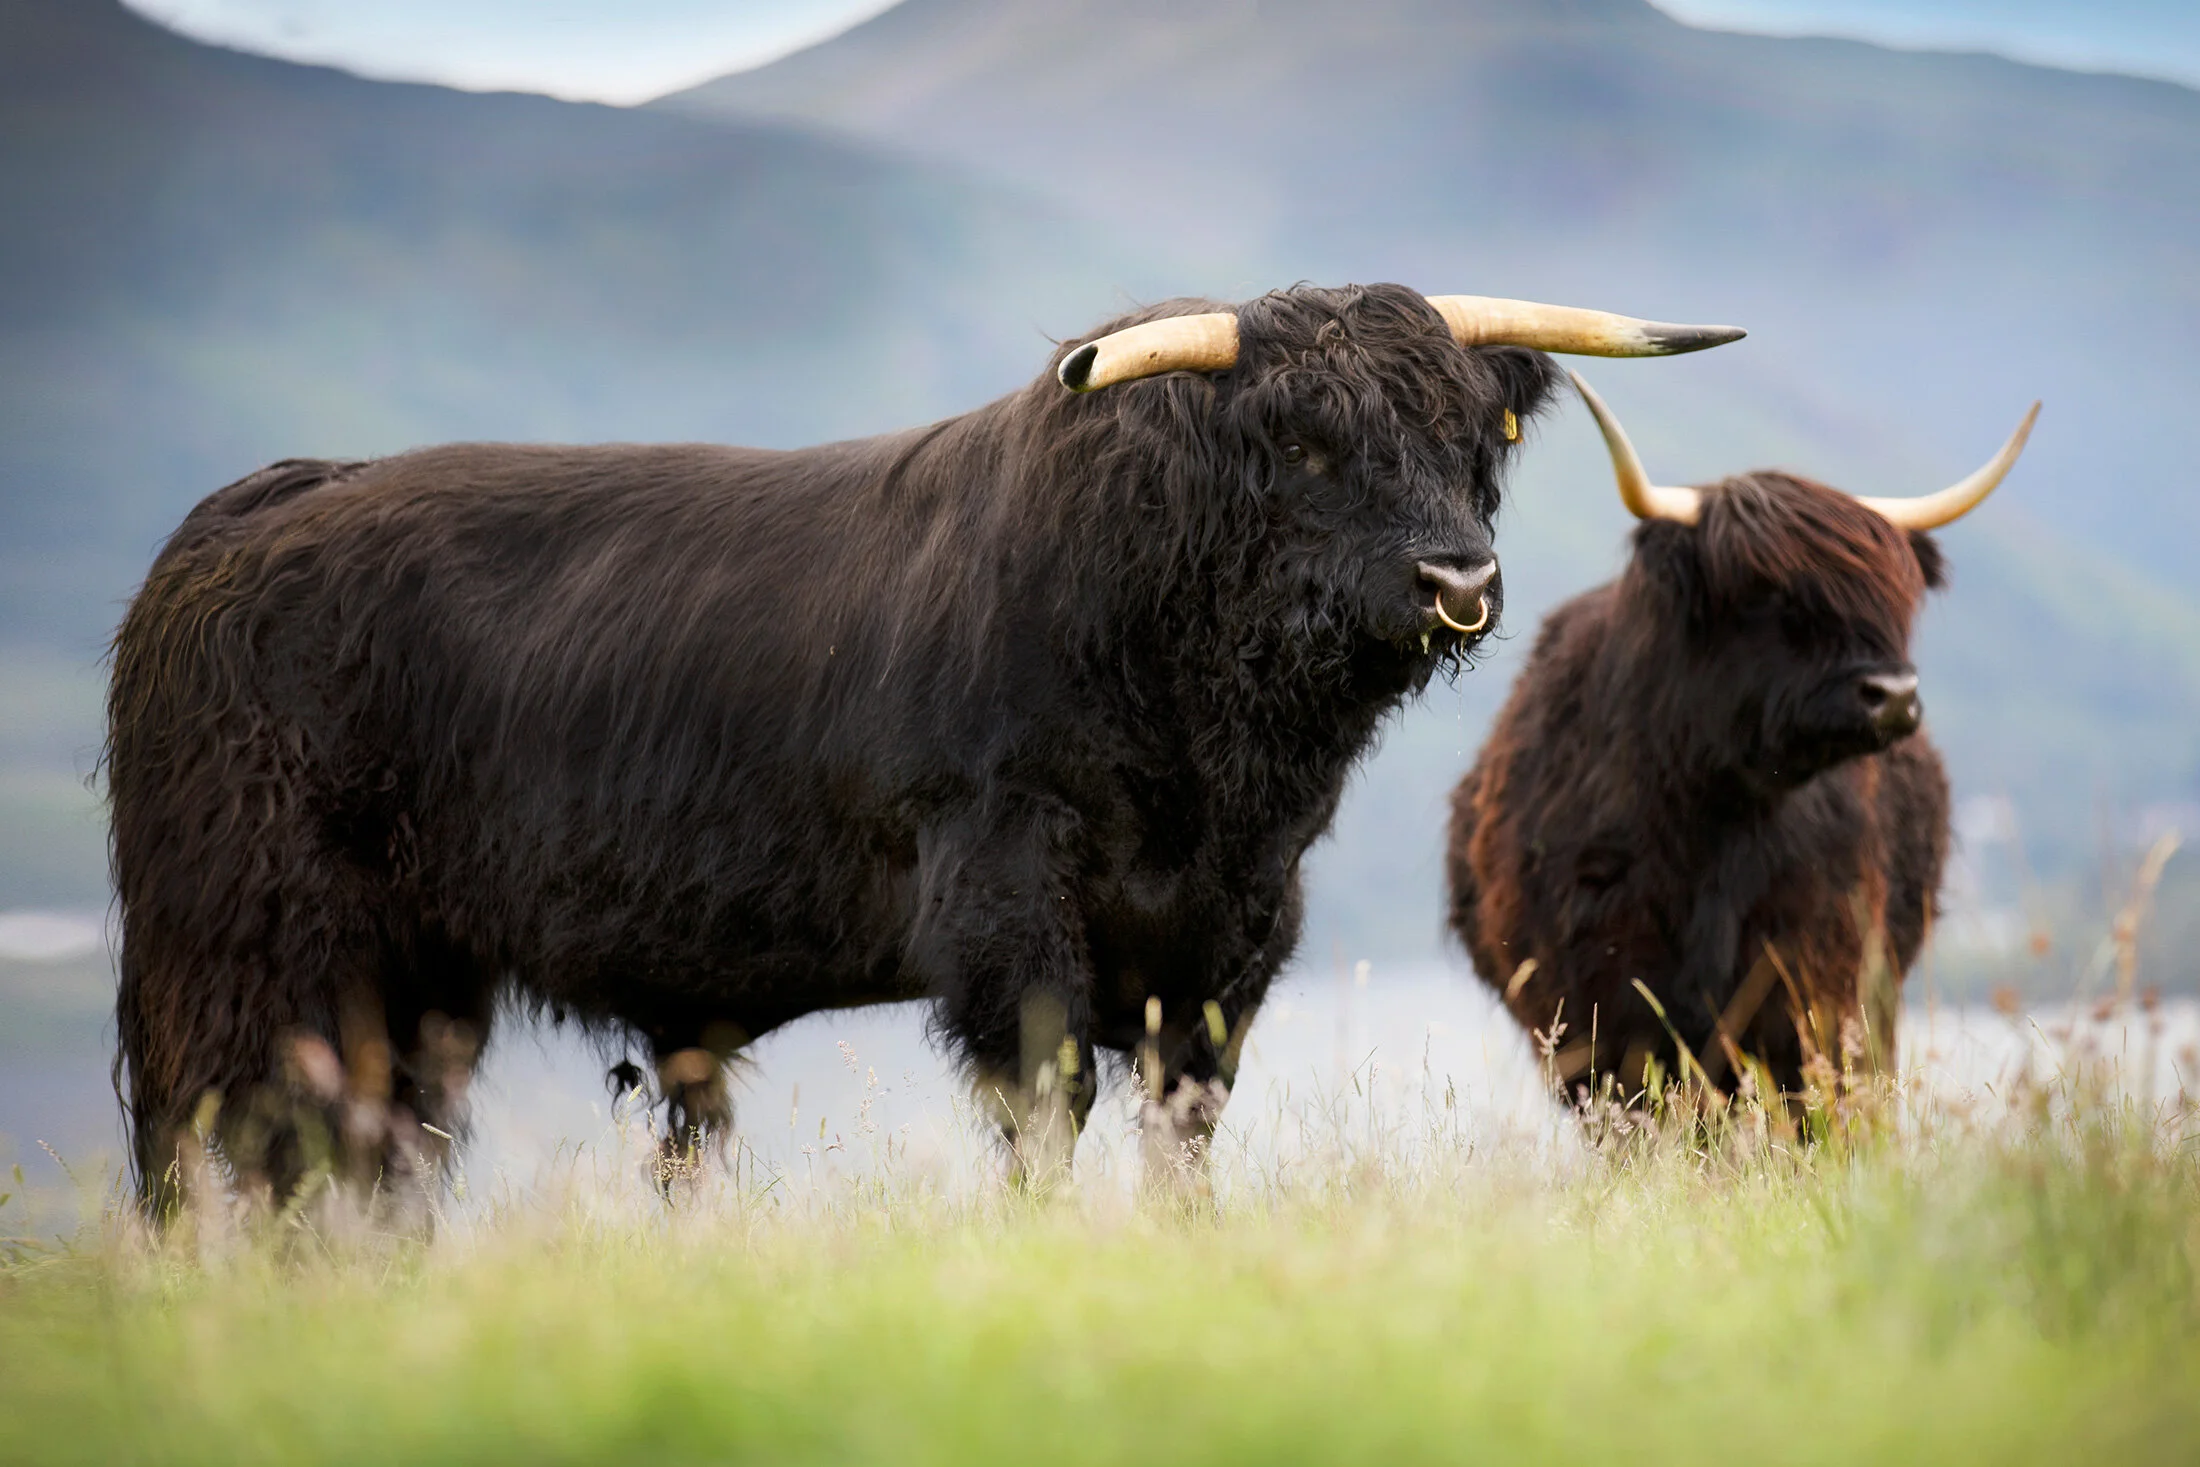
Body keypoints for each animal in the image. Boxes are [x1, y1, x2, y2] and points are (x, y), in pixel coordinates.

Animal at [107, 284, 1742, 1207]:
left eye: (1478, 434)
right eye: (1304, 440)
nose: (1462, 580)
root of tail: (254, 512)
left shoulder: (1233, 935)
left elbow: (1184, 1121)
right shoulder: (1009, 906)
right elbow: (1046, 1106)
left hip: (416, 974)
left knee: (380, 1143)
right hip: (259, 942)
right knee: (245, 1140)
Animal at [1446, 372, 2036, 1106]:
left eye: (1889, 596)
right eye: (1766, 594)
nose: (1894, 694)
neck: (1716, 818)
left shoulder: (1816, 984)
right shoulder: (1599, 1010)